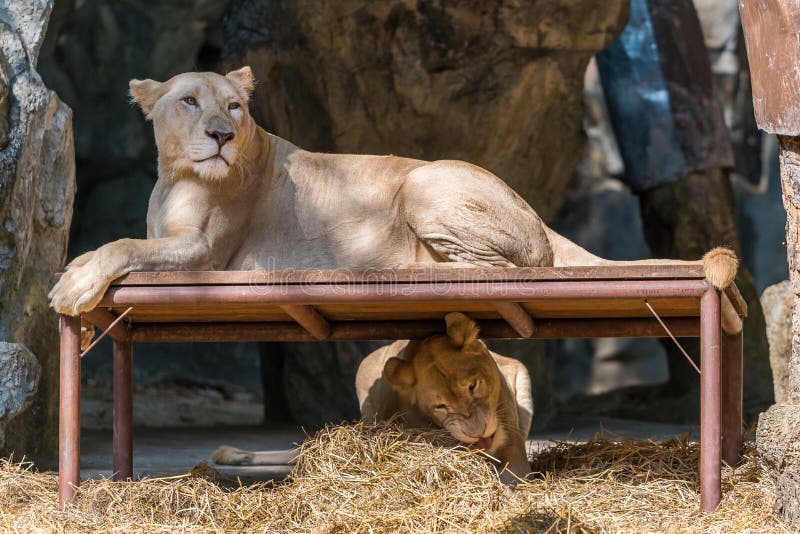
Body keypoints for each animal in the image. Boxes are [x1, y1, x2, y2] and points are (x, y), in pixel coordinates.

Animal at [49, 66, 741, 335]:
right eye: (190, 101)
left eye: (236, 108)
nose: (220, 136)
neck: (177, 173)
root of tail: (540, 215)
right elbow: (132, 239)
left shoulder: (205, 254)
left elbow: (121, 245)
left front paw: (72, 281)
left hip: (424, 181)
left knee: (504, 268)